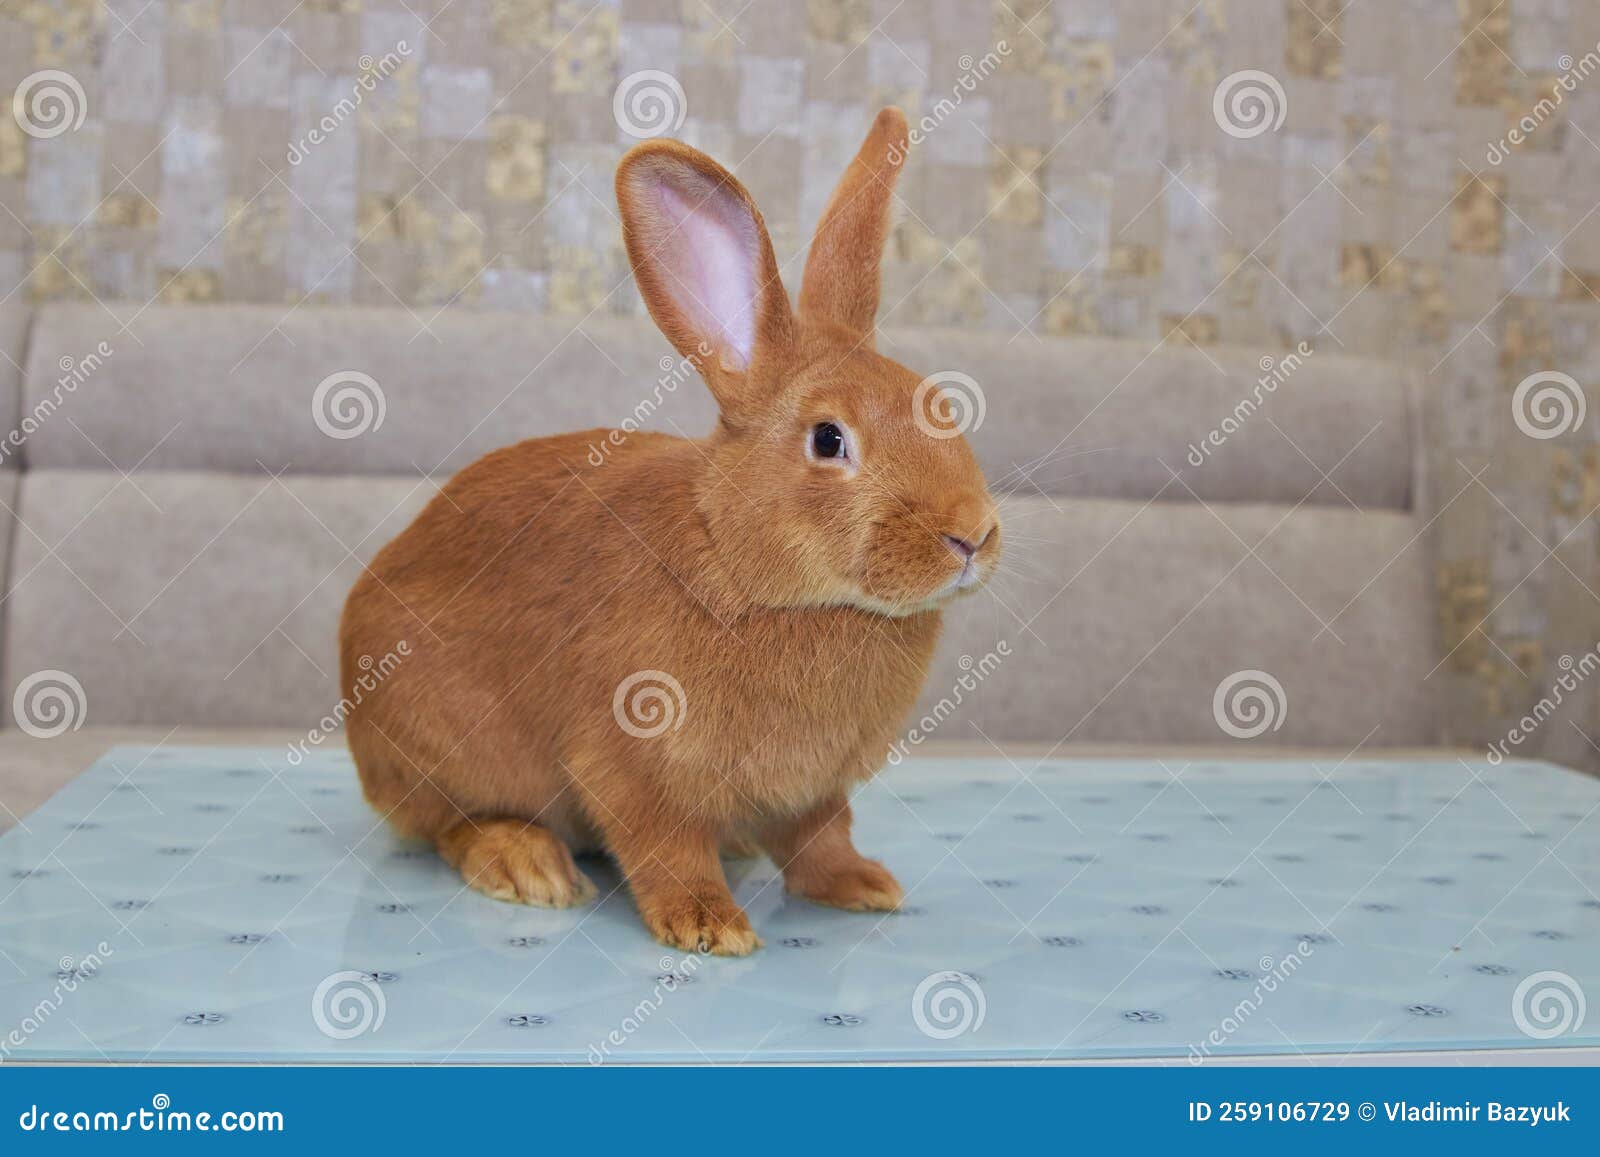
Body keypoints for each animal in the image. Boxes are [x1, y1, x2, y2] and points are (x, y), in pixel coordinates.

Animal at [339, 107, 1000, 956]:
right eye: (829, 440)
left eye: (941, 404)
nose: (972, 534)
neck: (742, 565)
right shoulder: (630, 763)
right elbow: (666, 845)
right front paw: (708, 923)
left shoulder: (815, 791)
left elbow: (823, 835)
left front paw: (861, 885)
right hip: (442, 747)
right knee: (446, 822)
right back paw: (526, 863)